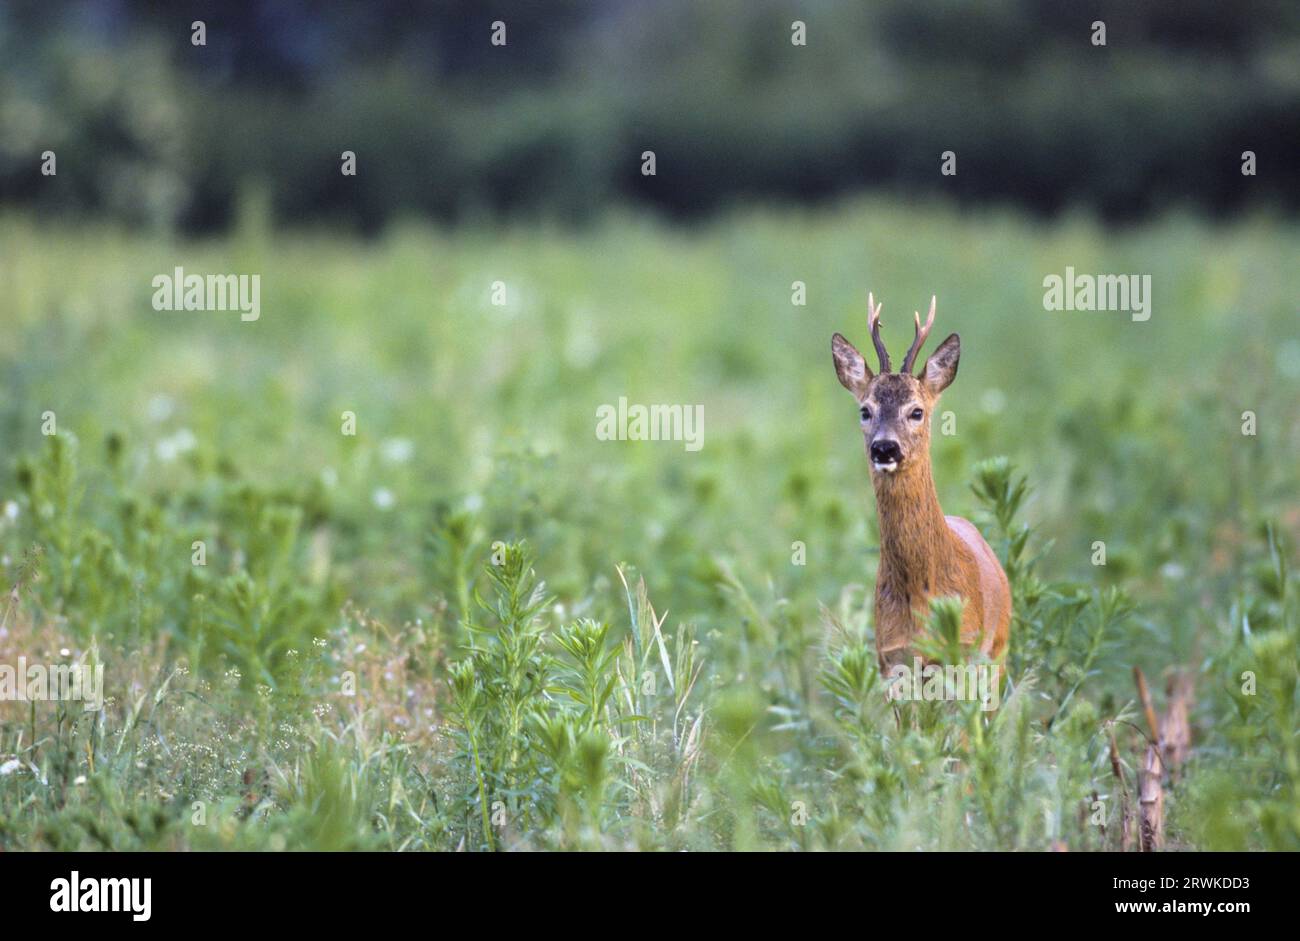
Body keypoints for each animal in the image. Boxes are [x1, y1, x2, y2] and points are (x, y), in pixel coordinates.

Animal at [831, 294, 1011, 676]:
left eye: (917, 411)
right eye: (865, 410)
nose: (885, 447)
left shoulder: (964, 651)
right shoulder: (891, 657)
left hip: (997, 651)